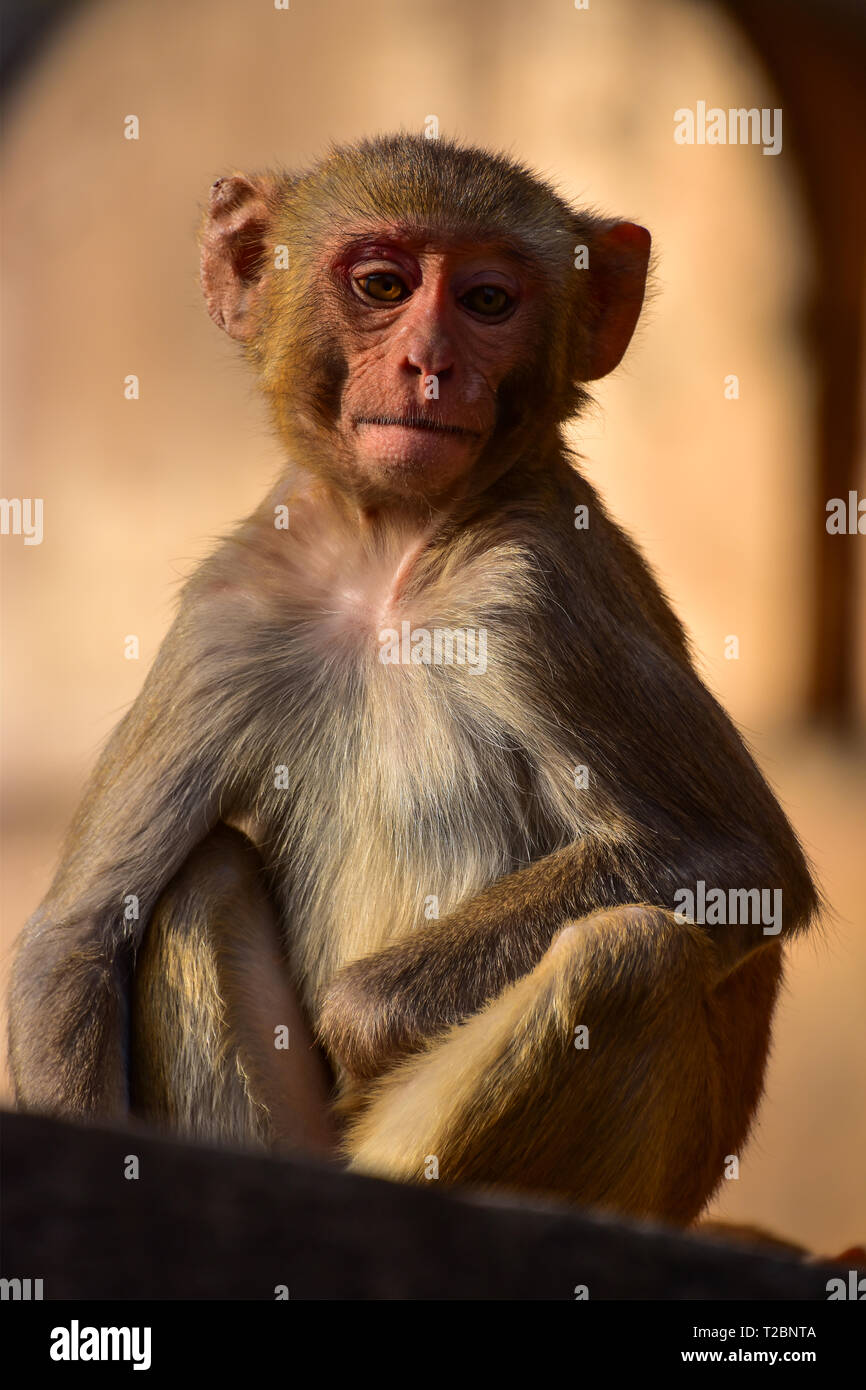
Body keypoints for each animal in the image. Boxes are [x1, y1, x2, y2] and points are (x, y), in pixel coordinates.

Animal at [8, 134, 819, 1225]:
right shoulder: (232, 612)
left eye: (485, 301)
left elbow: (735, 858)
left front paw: (358, 1017)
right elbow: (82, 932)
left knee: (626, 953)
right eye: (384, 286)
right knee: (203, 877)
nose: (429, 365)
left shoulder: (533, 590)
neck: (390, 554)